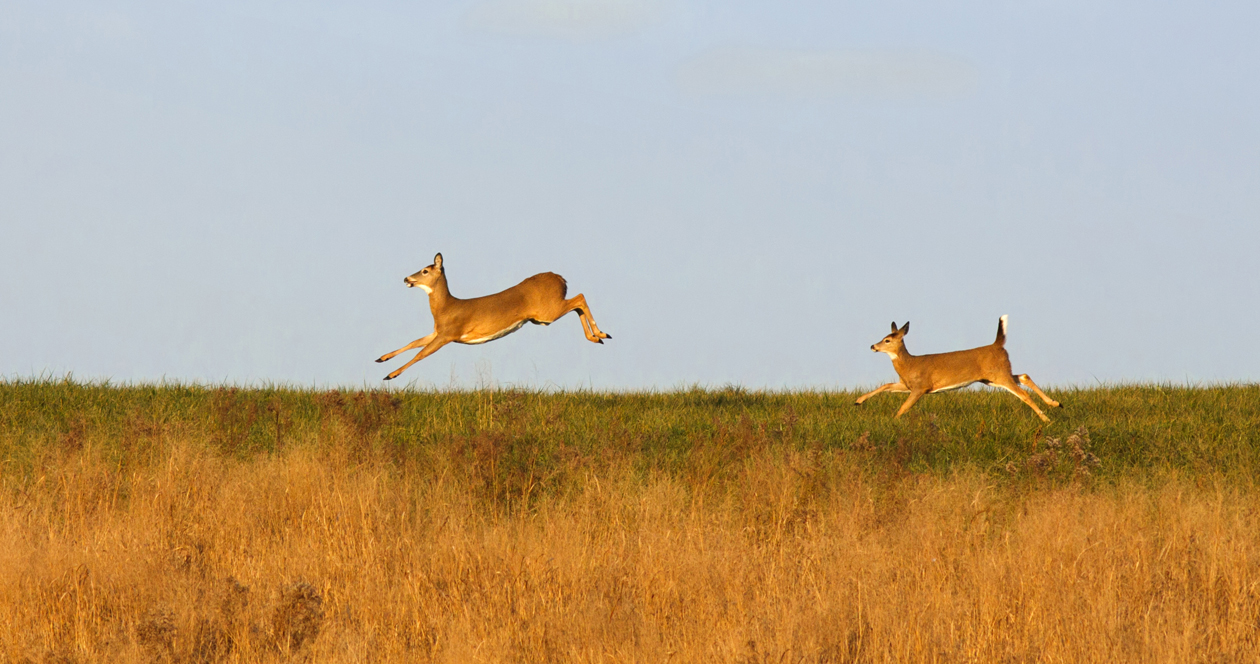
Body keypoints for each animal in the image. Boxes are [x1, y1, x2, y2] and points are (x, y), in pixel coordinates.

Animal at [376, 253, 611, 380]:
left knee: (580, 297)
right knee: (577, 303)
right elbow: (414, 342)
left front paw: (391, 375)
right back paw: (597, 337)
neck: (446, 308)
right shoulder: (438, 331)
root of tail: (561, 279)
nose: (406, 278)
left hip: (547, 311)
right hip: (543, 316)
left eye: (425, 270)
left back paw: (601, 334)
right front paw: (382, 358)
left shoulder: (449, 334)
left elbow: (421, 353)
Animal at [854, 315, 1061, 422]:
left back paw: (1046, 419)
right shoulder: (907, 385)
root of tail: (997, 345)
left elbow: (904, 407)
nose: (873, 346)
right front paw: (858, 401)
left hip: (999, 375)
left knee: (1023, 394)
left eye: (887, 340)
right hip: (993, 377)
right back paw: (1055, 403)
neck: (909, 365)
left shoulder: (921, 386)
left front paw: (893, 421)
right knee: (1024, 376)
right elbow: (886, 385)